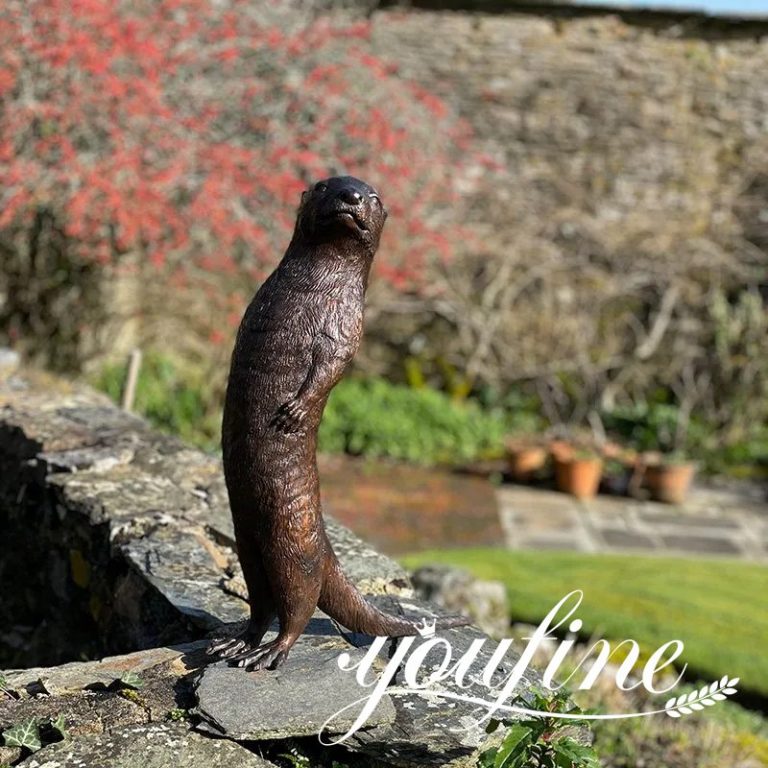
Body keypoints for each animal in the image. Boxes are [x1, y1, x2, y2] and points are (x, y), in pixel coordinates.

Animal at [207, 176, 466, 671]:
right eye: (326, 184)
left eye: (375, 197)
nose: (352, 197)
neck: (312, 292)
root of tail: (328, 549)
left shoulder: (348, 325)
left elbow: (334, 365)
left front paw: (295, 411)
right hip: (246, 537)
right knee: (261, 602)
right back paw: (236, 643)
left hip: (292, 539)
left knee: (299, 602)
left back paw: (271, 652)